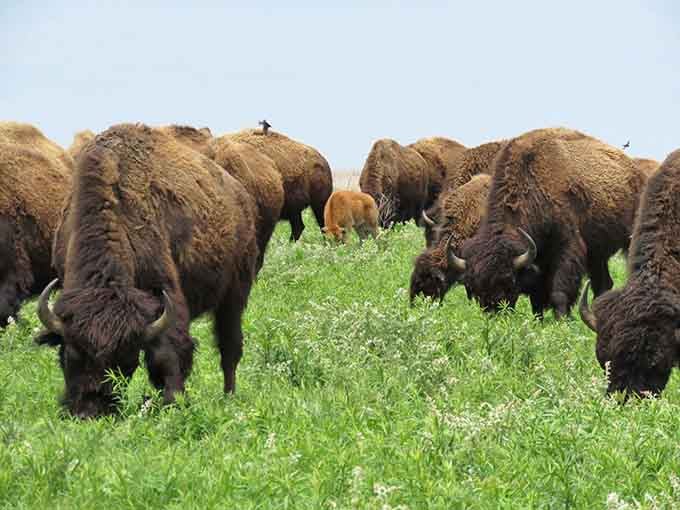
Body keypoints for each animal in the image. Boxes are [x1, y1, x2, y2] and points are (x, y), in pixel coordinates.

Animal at [36, 124, 259, 418]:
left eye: (124, 359)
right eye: (70, 353)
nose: (89, 412)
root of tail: (240, 196)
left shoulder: (167, 295)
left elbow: (167, 353)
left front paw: (173, 401)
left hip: (234, 294)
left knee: (229, 347)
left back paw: (229, 397)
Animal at [453, 127, 649, 318]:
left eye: (508, 279)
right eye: (473, 287)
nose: (495, 315)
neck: (533, 184)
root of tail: (636, 172)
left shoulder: (567, 247)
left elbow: (559, 291)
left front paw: (561, 320)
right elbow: (536, 299)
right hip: (597, 253)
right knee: (603, 283)